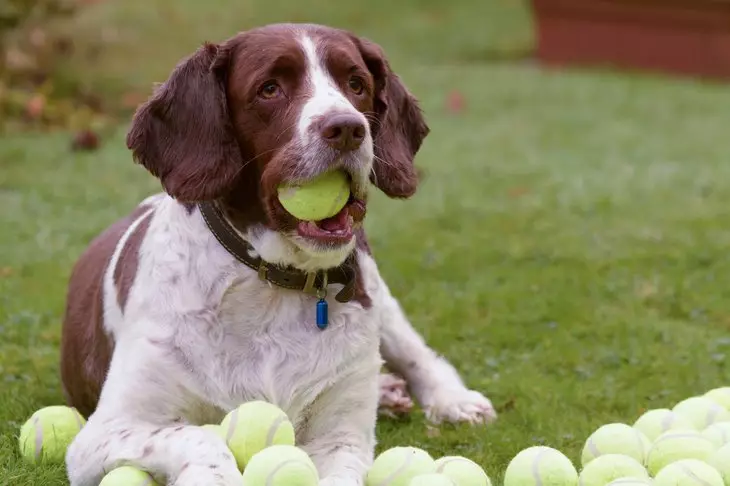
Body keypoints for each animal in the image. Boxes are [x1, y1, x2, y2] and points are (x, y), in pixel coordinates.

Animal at [61, 23, 494, 486]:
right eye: (269, 89)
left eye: (356, 84)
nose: (348, 128)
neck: (271, 284)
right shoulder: (104, 432)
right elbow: (201, 436)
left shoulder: (340, 438)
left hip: (379, 299)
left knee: (417, 354)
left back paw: (449, 398)